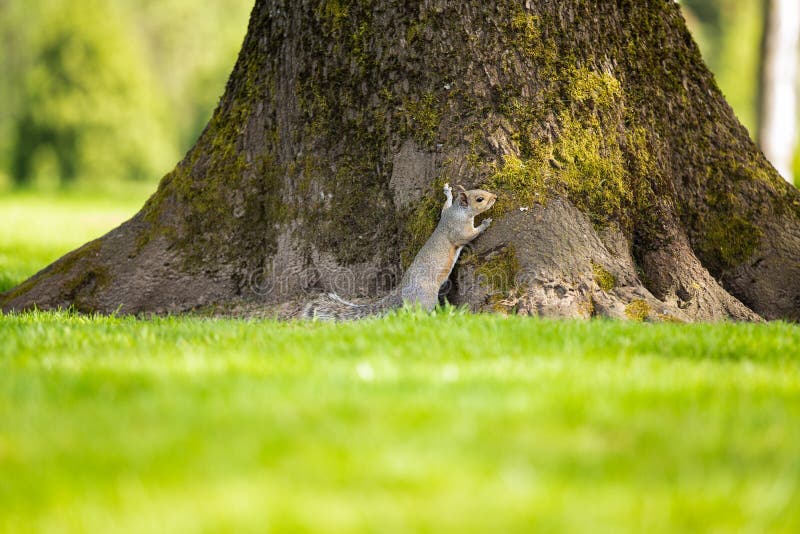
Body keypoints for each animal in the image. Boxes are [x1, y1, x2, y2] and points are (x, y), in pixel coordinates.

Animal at [303, 183, 497, 320]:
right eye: (480, 199)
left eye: (480, 190)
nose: (495, 196)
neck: (459, 212)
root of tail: (401, 291)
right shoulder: (457, 230)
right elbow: (467, 236)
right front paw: (484, 224)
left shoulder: (446, 212)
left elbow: (444, 205)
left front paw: (448, 192)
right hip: (426, 297)